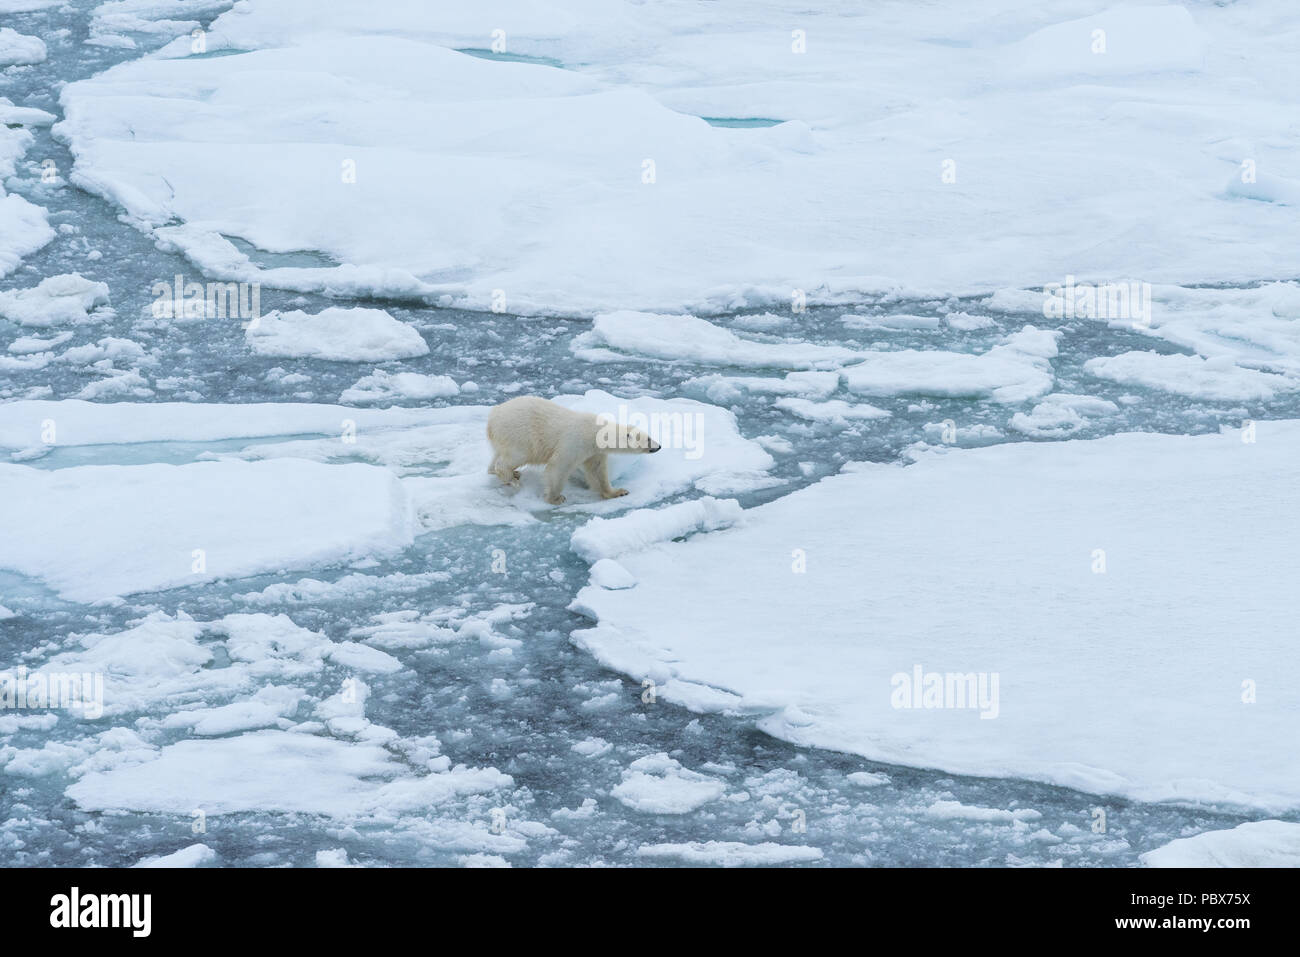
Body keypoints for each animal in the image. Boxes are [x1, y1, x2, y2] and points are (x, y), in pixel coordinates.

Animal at [487, 396, 660, 505]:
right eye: (648, 439)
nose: (658, 446)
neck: (595, 432)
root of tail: (493, 415)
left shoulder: (594, 451)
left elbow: (597, 471)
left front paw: (618, 492)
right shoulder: (574, 442)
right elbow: (559, 467)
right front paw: (556, 498)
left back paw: (507, 472)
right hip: (520, 433)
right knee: (516, 455)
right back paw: (511, 478)